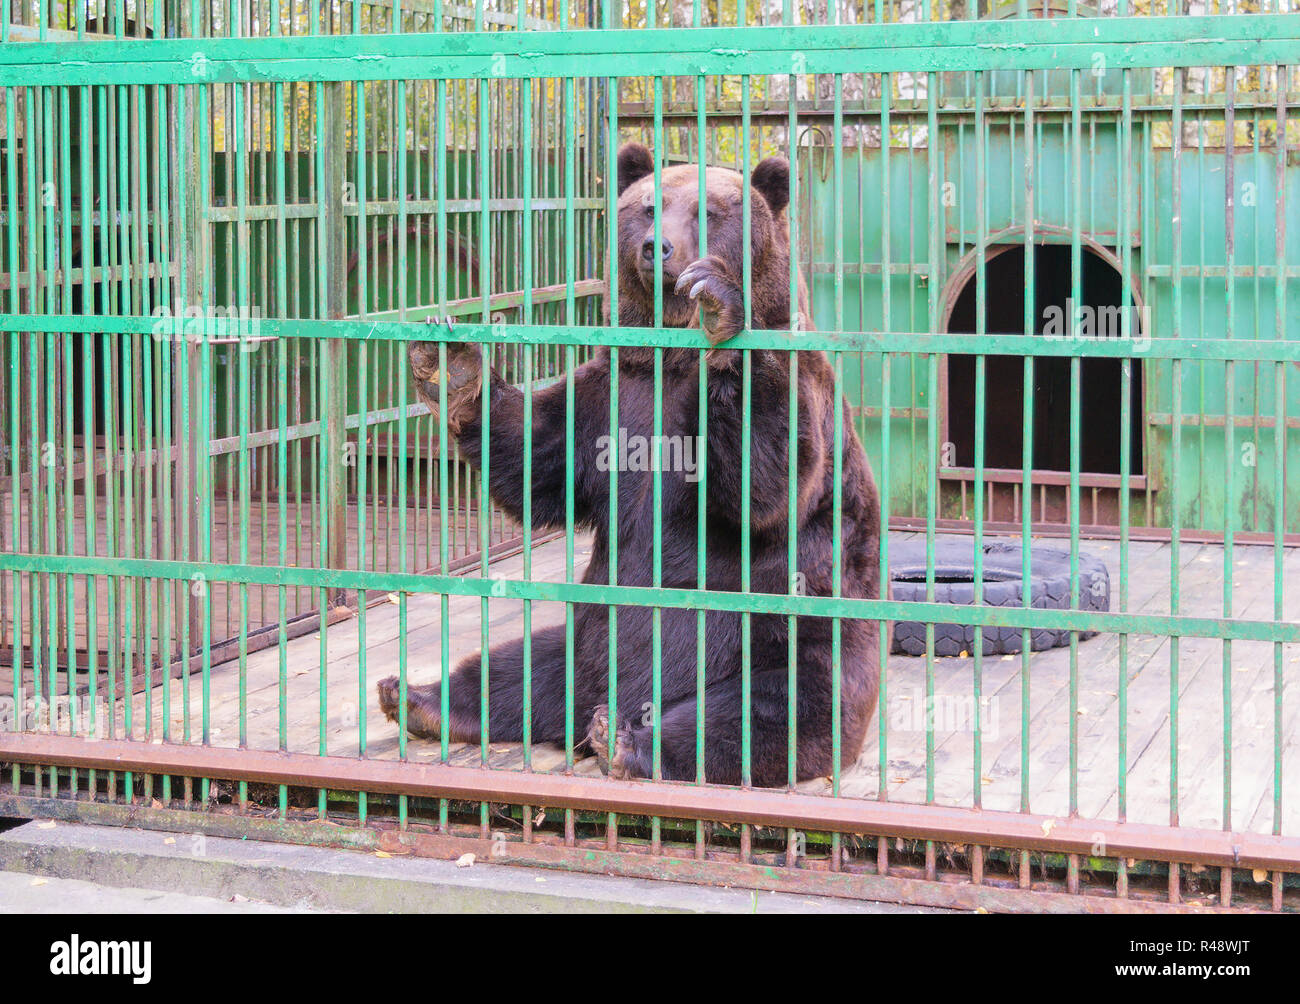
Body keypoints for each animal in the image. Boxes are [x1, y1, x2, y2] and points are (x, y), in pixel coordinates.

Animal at [376, 142, 882, 787]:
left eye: (709, 212)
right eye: (647, 207)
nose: (656, 247)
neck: (670, 359)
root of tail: (602, 698)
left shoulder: (798, 392)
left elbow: (764, 484)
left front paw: (719, 304)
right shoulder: (616, 392)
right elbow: (541, 458)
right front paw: (454, 366)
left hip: (787, 636)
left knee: (769, 710)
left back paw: (629, 741)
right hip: (589, 633)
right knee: (519, 665)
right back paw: (419, 698)